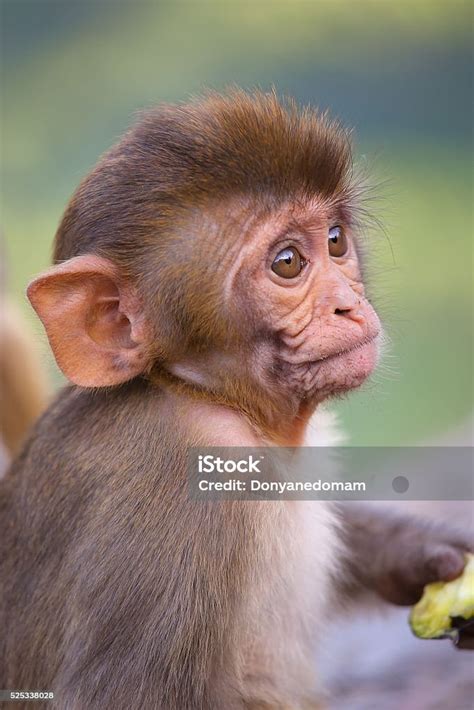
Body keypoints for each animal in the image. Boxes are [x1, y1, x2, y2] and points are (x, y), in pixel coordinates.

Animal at [0, 90, 472, 709]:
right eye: (287, 262)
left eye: (335, 240)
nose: (348, 304)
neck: (202, 393)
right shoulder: (185, 492)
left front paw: (427, 554)